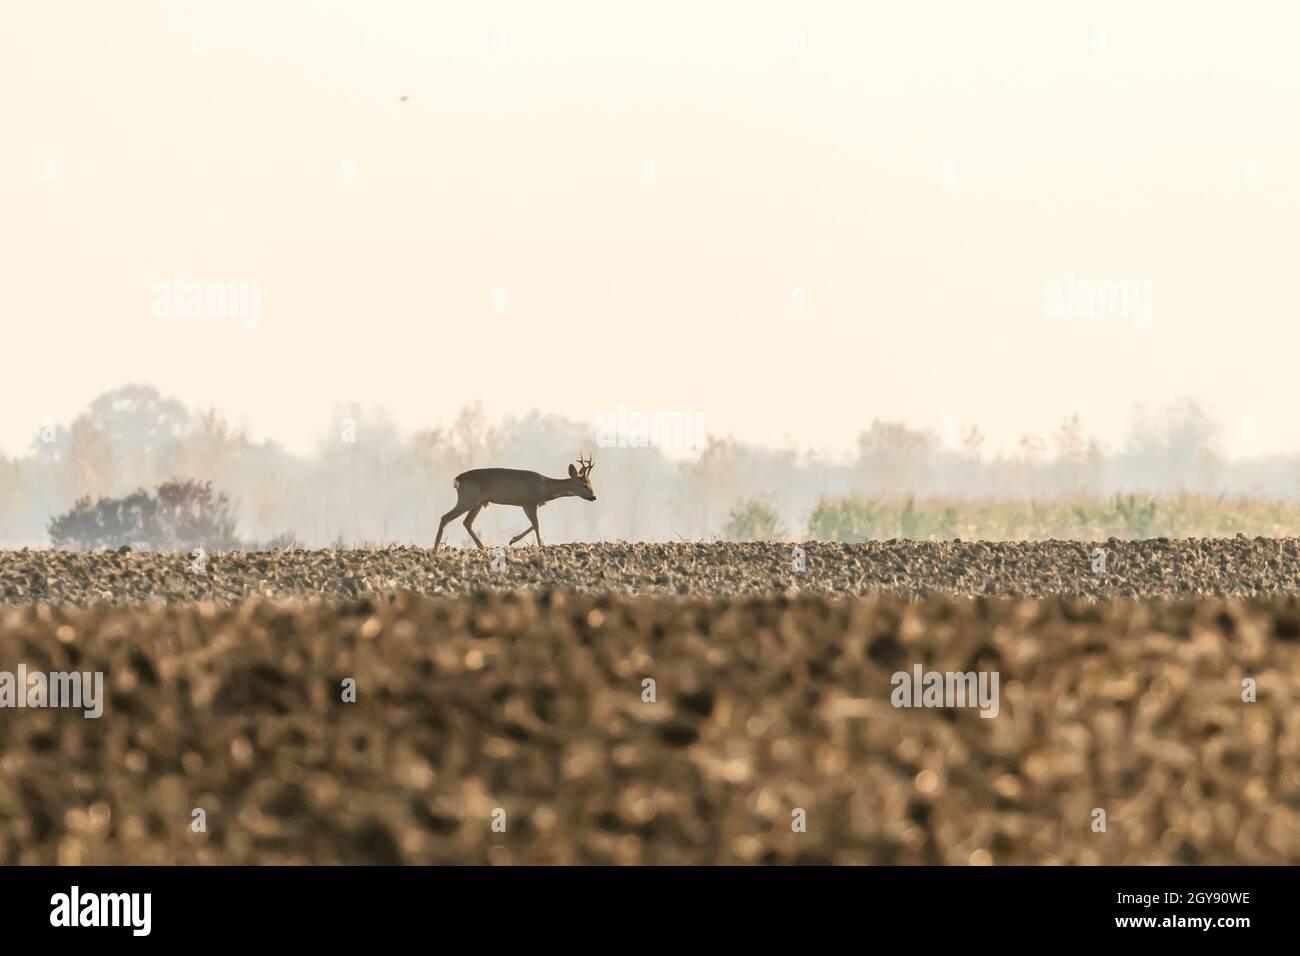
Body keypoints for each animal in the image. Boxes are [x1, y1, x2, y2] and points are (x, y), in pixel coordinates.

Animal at [434, 454, 596, 550]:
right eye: (584, 485)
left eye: (590, 483)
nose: (594, 497)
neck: (545, 487)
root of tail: (457, 480)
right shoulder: (529, 502)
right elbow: (536, 525)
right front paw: (540, 546)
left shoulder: (526, 504)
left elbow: (533, 525)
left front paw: (512, 540)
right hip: (468, 499)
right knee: (445, 517)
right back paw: (436, 549)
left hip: (478, 503)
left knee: (467, 522)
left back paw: (483, 547)